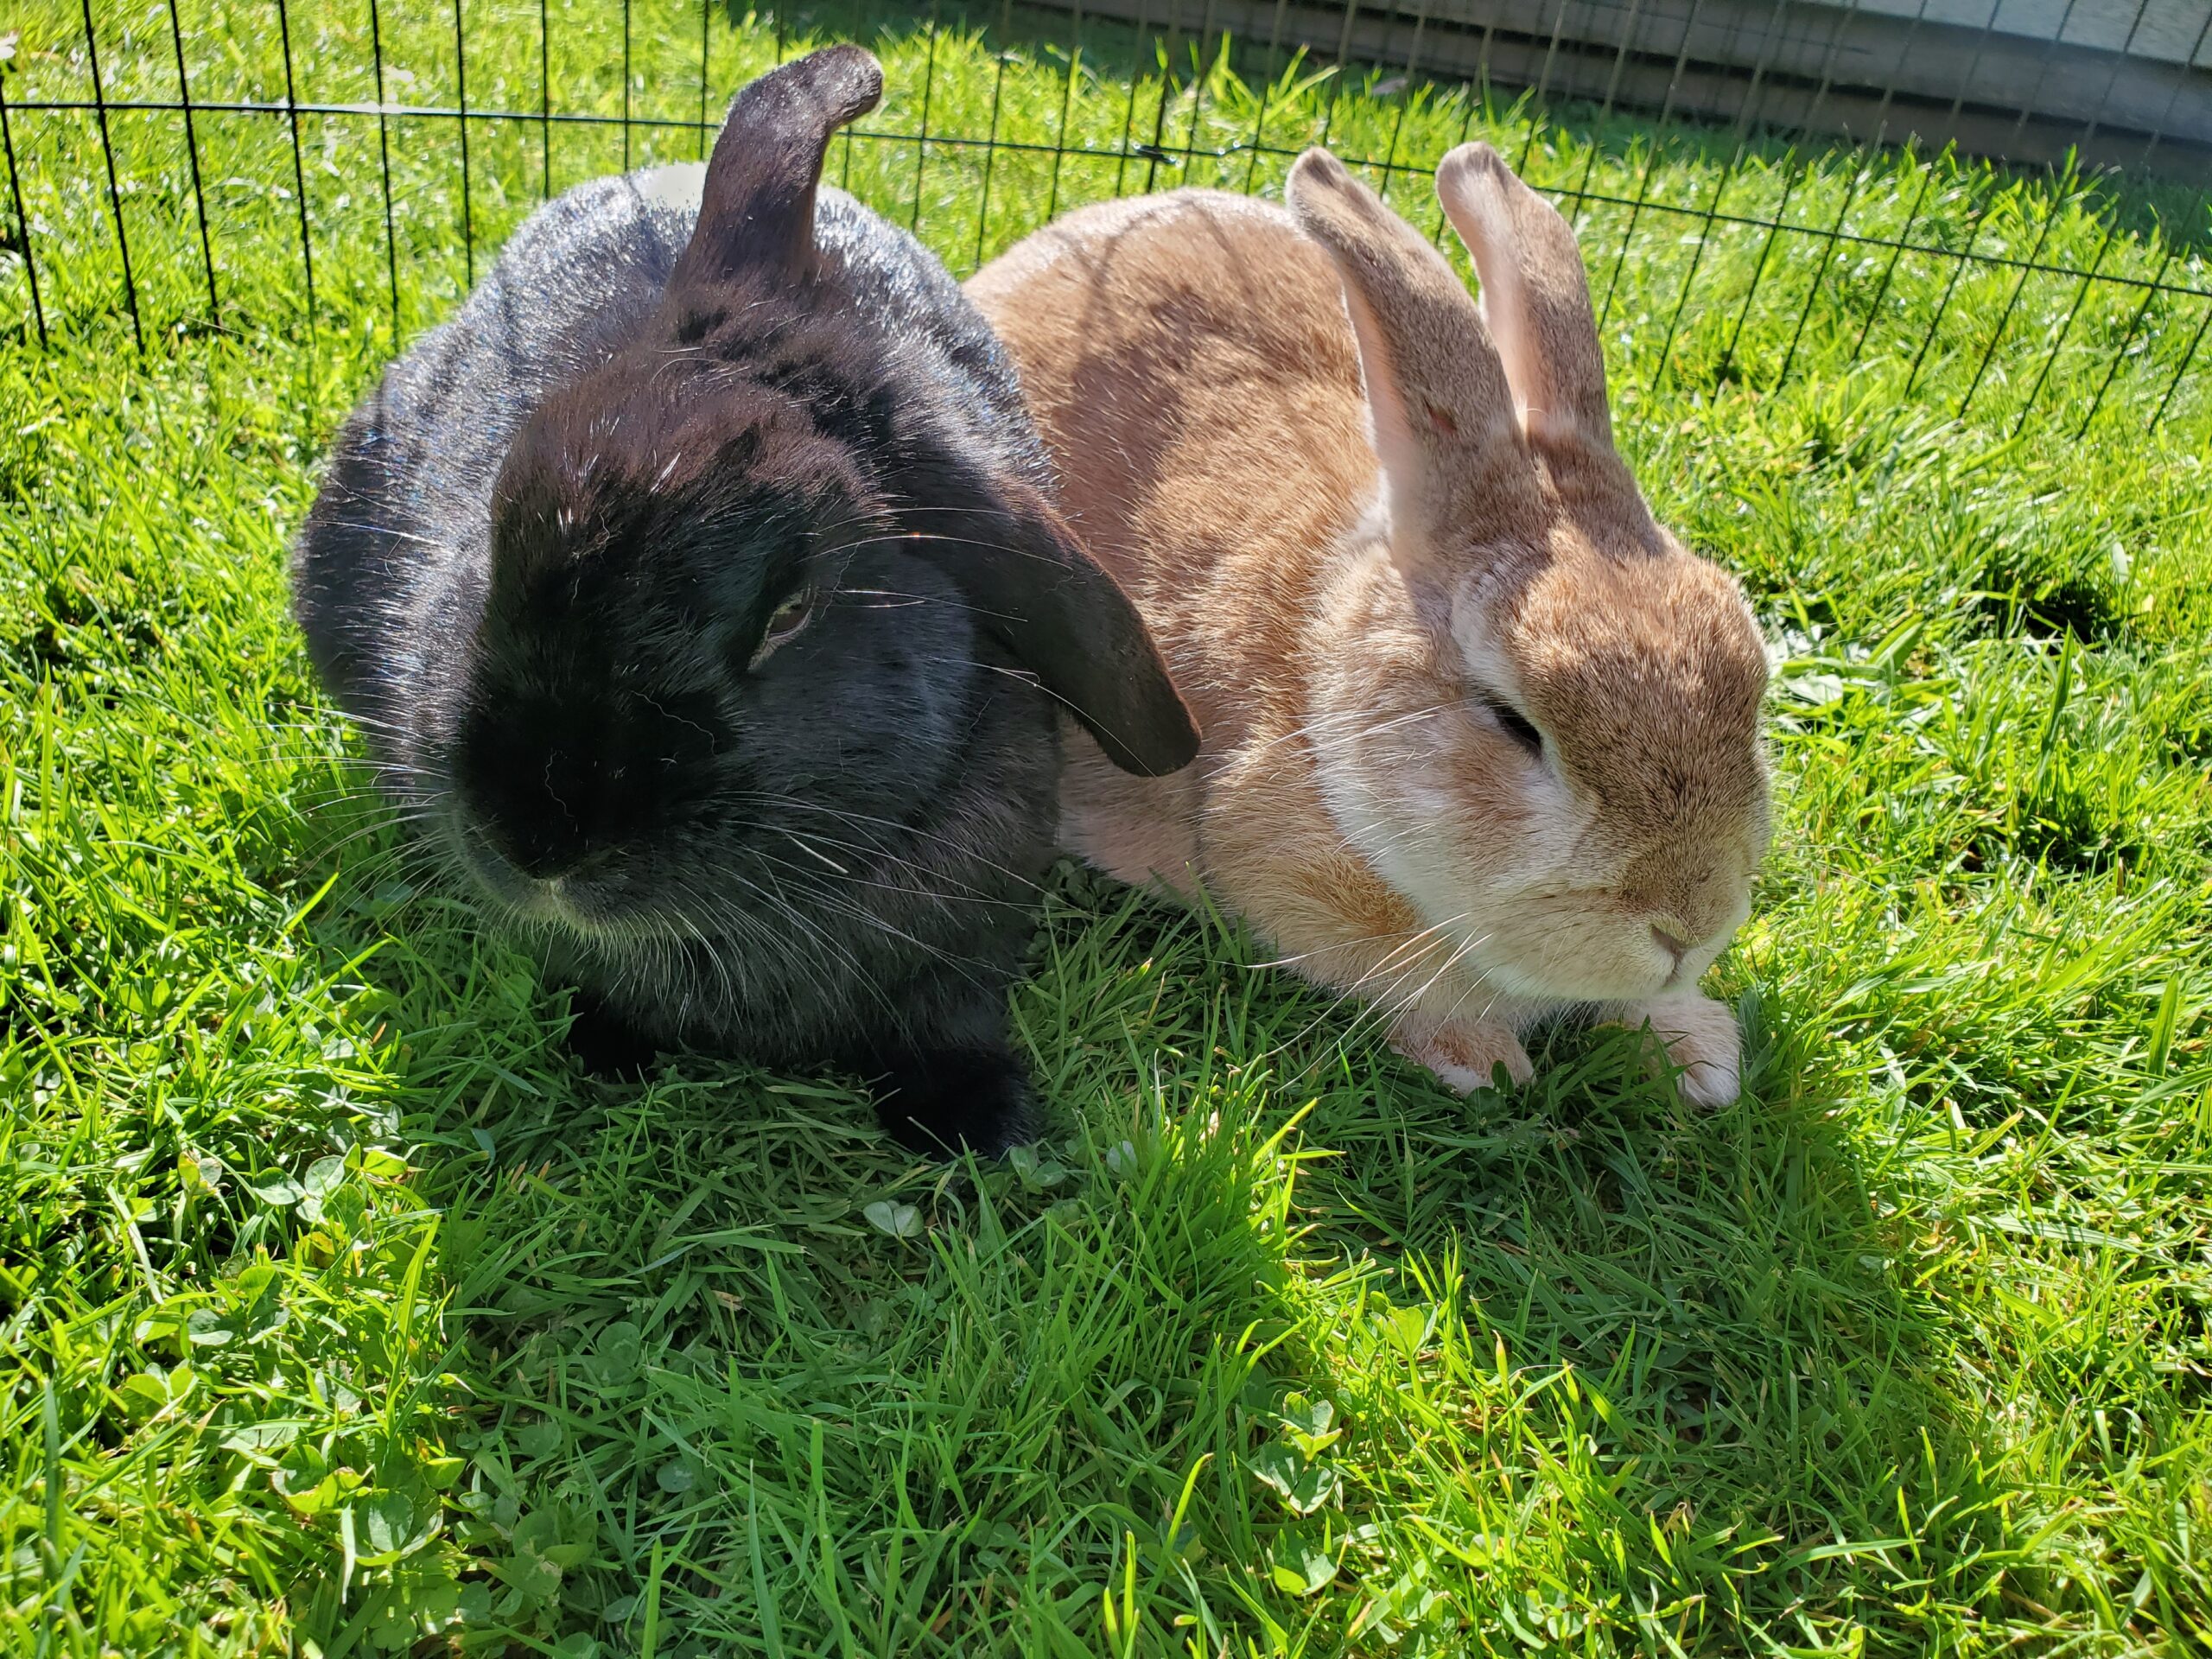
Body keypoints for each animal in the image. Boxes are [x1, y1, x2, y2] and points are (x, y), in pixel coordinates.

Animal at [291, 45, 1197, 1154]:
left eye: (790, 614)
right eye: (497, 528)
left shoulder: (976, 929)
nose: (536, 842)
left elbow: (953, 1022)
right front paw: (607, 1052)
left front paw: (982, 1128)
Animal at [967, 144, 1769, 1106]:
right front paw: (1481, 1059)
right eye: (1513, 723)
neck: (1322, 679)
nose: (1688, 924)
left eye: (1751, 688)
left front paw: (1700, 1056)